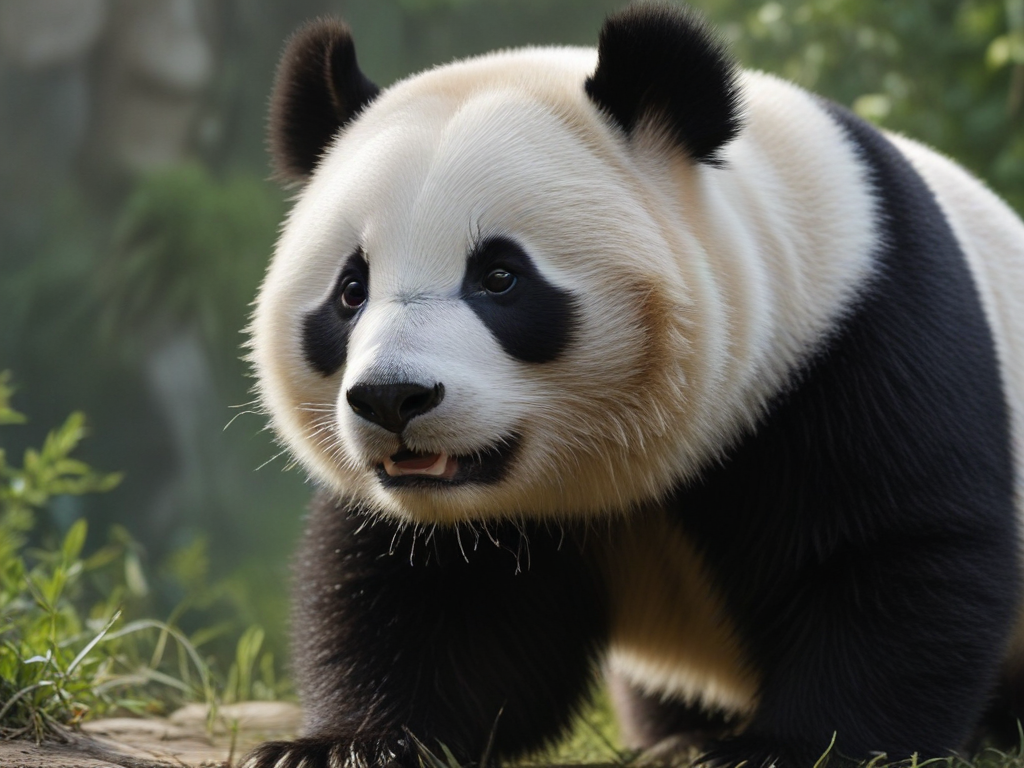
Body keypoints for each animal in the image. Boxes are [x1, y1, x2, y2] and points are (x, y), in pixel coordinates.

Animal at [245, 4, 1024, 768]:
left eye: (500, 277)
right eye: (351, 291)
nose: (392, 399)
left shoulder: (852, 333)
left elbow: (890, 551)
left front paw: (783, 749)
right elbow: (424, 600)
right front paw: (336, 747)